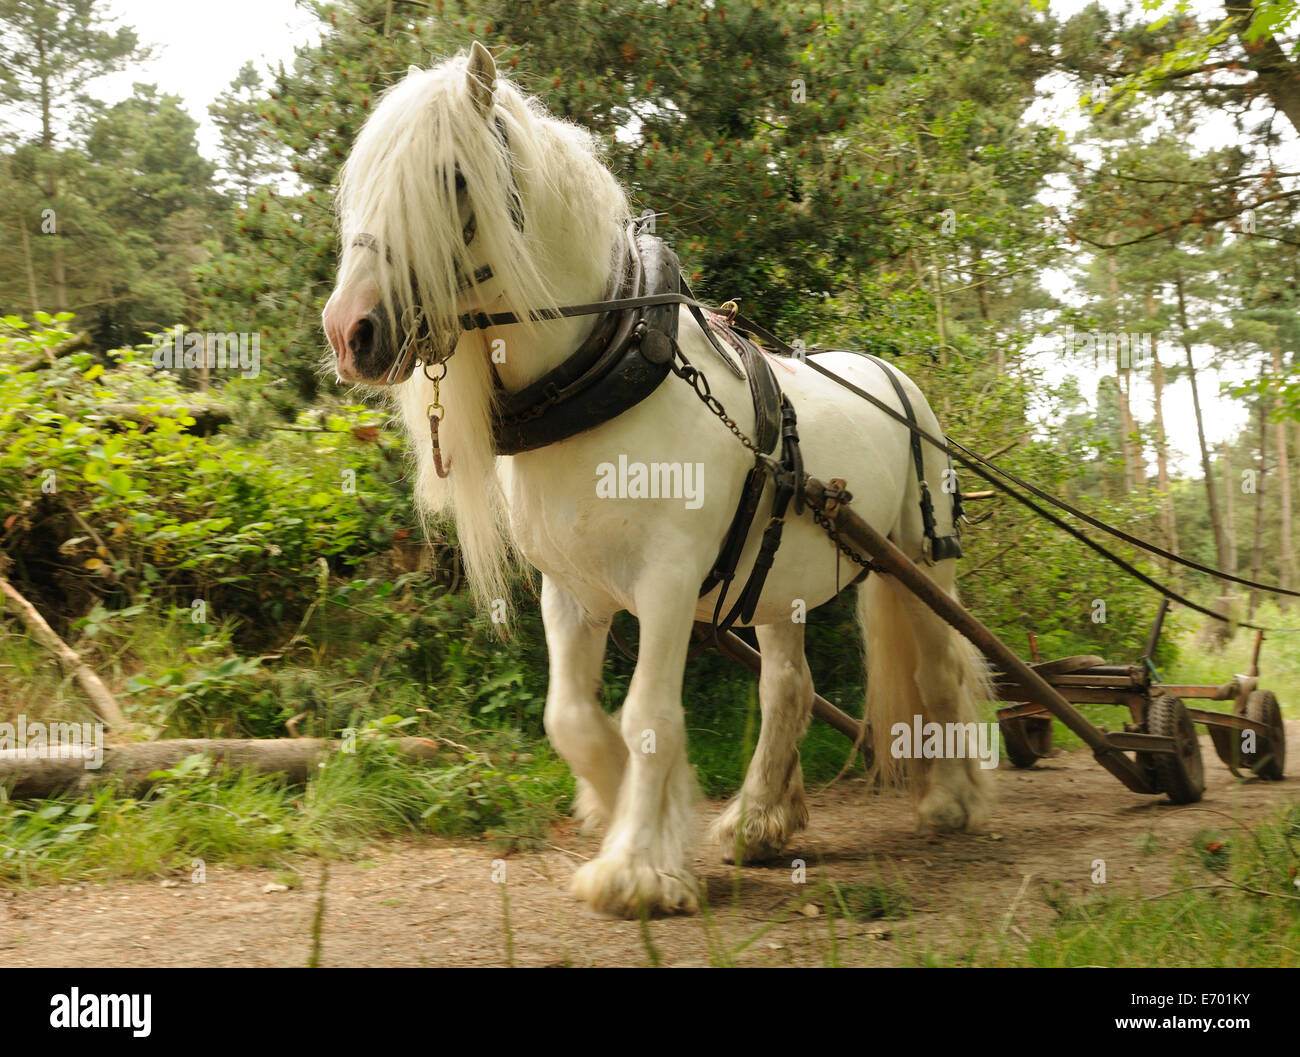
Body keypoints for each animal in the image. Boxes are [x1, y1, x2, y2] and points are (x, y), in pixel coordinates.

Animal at [322, 42, 991, 918]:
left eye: (452, 178)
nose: (350, 332)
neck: (600, 379)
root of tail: (891, 374)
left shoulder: (669, 576)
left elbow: (647, 712)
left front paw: (638, 867)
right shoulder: (570, 588)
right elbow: (571, 717)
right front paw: (634, 812)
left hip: (920, 558)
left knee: (942, 666)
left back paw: (953, 798)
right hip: (779, 580)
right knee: (789, 685)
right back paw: (761, 821)